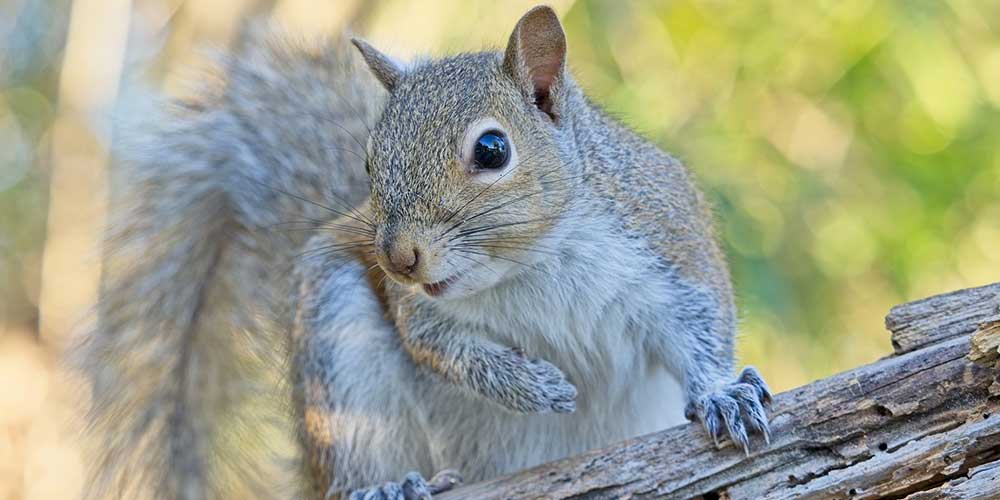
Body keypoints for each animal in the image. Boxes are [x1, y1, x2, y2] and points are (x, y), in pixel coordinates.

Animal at [78, 5, 771, 500]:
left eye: (492, 150)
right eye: (368, 161)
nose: (397, 258)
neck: (531, 263)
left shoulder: (669, 244)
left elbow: (702, 330)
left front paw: (723, 396)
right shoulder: (419, 308)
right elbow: (437, 346)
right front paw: (534, 386)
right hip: (339, 350)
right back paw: (387, 488)